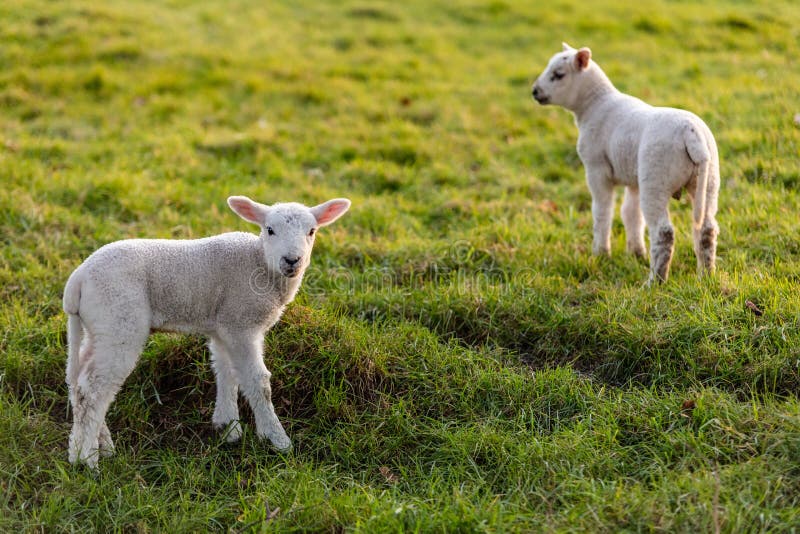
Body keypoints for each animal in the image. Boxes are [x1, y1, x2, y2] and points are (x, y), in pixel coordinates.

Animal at [63, 195, 351, 468]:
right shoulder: (241, 324)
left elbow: (226, 372)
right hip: (119, 321)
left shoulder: (224, 326)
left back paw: (94, 446)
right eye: (269, 230)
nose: (292, 260)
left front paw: (228, 427)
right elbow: (257, 381)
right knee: (94, 389)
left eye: (312, 231)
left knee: (78, 383)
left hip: (98, 327)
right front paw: (276, 439)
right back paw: (87, 459)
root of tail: (78, 279)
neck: (259, 262)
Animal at [531, 43, 720, 283]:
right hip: (707, 178)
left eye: (558, 75)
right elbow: (631, 213)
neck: (594, 104)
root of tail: (690, 132)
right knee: (707, 228)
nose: (535, 92)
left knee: (663, 232)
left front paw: (601, 254)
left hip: (656, 177)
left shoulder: (596, 169)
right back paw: (706, 275)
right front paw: (636, 253)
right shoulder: (633, 178)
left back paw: (655, 281)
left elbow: (602, 211)